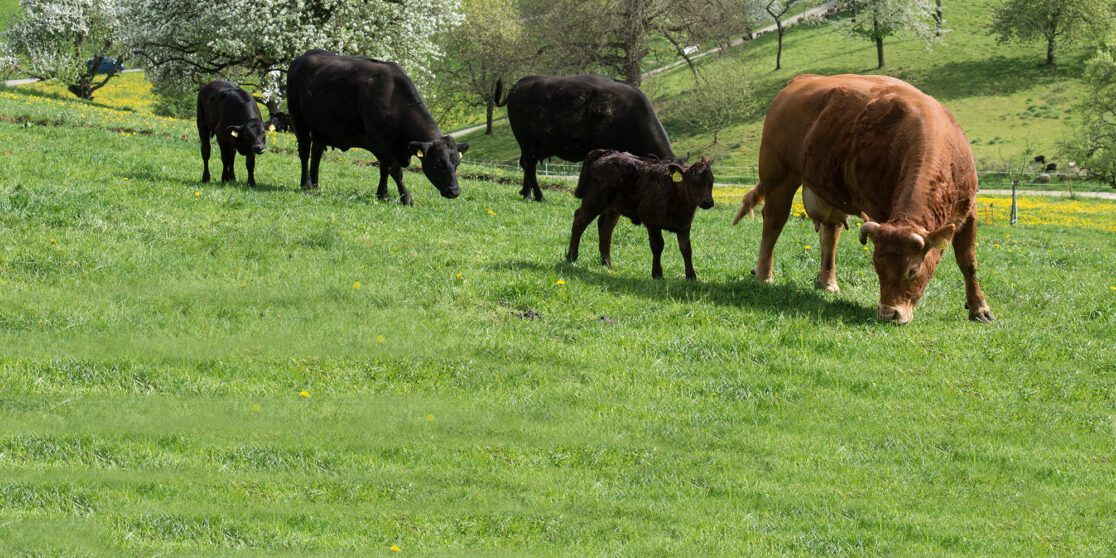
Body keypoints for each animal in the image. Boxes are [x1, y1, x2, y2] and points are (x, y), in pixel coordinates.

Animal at [287, 49, 468, 204]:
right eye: (437, 163)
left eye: (457, 163)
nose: (454, 191)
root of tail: (303, 56)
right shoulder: (377, 141)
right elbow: (395, 169)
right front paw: (406, 199)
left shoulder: (387, 146)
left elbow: (384, 168)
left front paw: (383, 195)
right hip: (299, 120)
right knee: (304, 152)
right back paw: (306, 184)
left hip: (320, 128)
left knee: (316, 152)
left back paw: (315, 184)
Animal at [493, 74, 682, 202]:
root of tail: (519, 84)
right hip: (528, 142)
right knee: (530, 167)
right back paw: (539, 196)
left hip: (535, 146)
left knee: (525, 164)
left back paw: (526, 193)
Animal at [567, 149, 714, 280]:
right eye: (695, 183)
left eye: (711, 182)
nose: (709, 202)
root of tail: (605, 152)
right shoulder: (652, 222)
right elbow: (657, 246)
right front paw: (657, 274)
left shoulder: (684, 225)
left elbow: (686, 249)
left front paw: (691, 276)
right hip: (594, 200)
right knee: (579, 220)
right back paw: (571, 257)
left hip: (613, 208)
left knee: (605, 227)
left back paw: (607, 265)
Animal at [732, 74, 994, 325]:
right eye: (877, 266)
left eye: (912, 271)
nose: (889, 314)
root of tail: (800, 79)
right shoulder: (879, 209)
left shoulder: (969, 212)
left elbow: (968, 262)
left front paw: (980, 309)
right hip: (779, 177)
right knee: (773, 224)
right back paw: (764, 276)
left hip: (830, 188)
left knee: (830, 234)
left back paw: (827, 282)